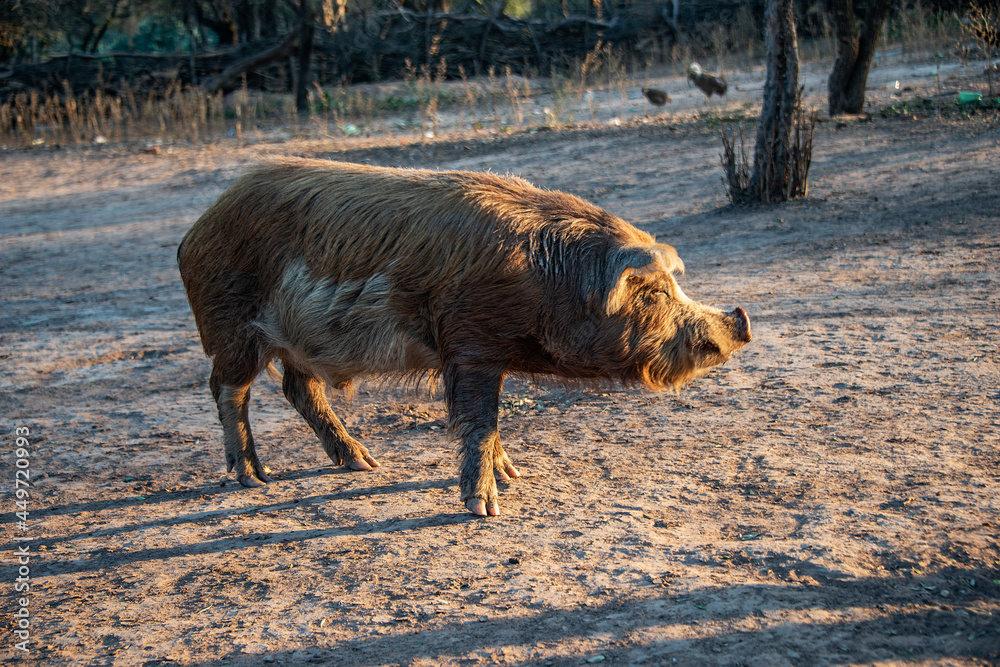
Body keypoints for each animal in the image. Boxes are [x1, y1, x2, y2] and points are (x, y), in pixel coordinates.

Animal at [177, 158, 751, 516]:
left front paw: (514, 475)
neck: (549, 280)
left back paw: (364, 463)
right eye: (653, 291)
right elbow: (479, 420)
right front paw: (485, 507)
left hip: (302, 342)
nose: (740, 321)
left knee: (300, 389)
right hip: (231, 324)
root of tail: (196, 228)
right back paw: (255, 478)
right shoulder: (471, 343)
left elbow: (490, 425)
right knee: (228, 389)